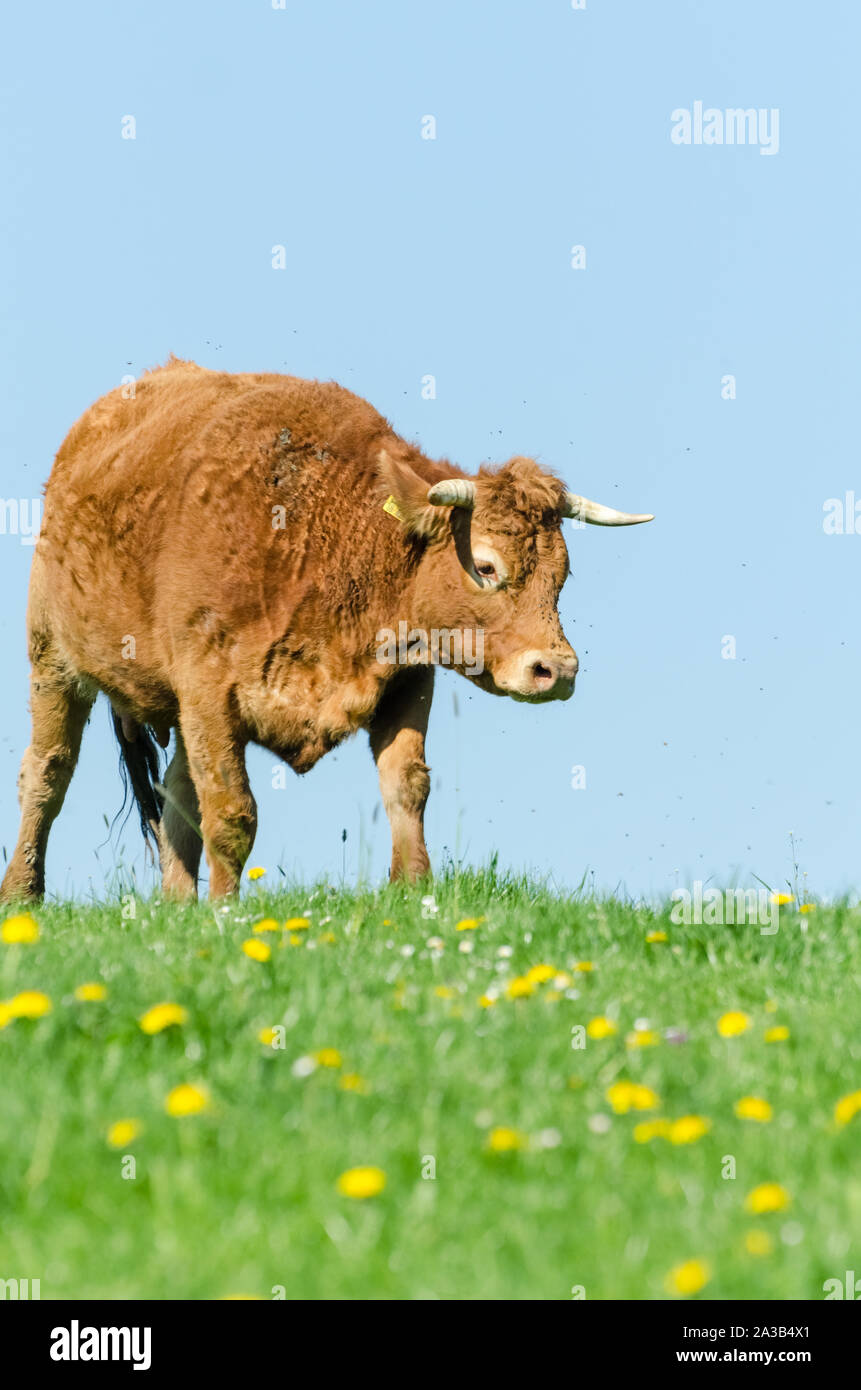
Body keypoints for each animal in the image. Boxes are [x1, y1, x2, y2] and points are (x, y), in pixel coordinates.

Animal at [0, 358, 652, 902]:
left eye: (562, 573)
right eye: (487, 566)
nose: (556, 670)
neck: (325, 540)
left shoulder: (407, 680)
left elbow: (406, 786)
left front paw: (413, 893)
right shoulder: (209, 690)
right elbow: (232, 812)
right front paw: (226, 913)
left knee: (177, 793)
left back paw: (177, 905)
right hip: (53, 662)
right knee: (47, 774)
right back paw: (23, 896)